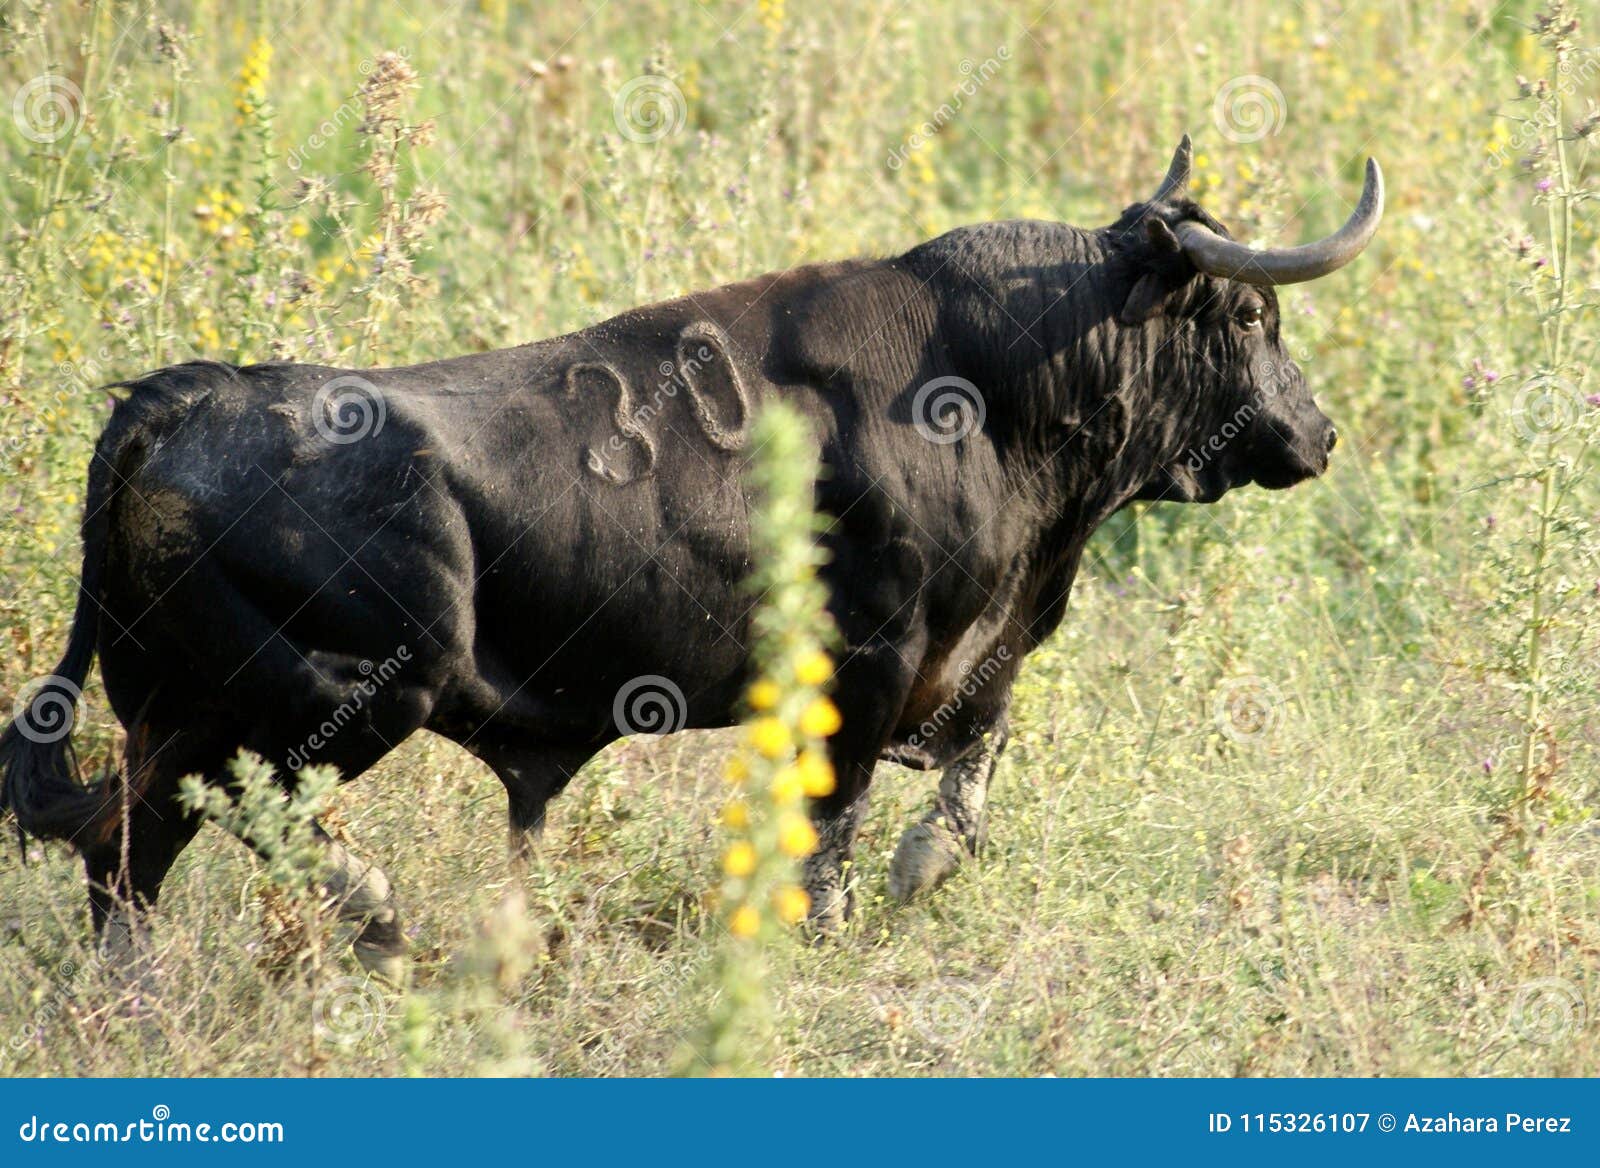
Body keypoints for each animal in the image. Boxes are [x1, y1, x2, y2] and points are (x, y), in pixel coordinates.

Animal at [0, 137, 1382, 980]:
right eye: (1249, 314)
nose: (1317, 433)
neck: (992, 387)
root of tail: (183, 401)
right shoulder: (872, 664)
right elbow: (840, 820)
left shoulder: (967, 658)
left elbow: (972, 758)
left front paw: (922, 869)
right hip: (337, 695)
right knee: (188, 823)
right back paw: (379, 917)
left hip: (179, 705)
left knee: (127, 852)